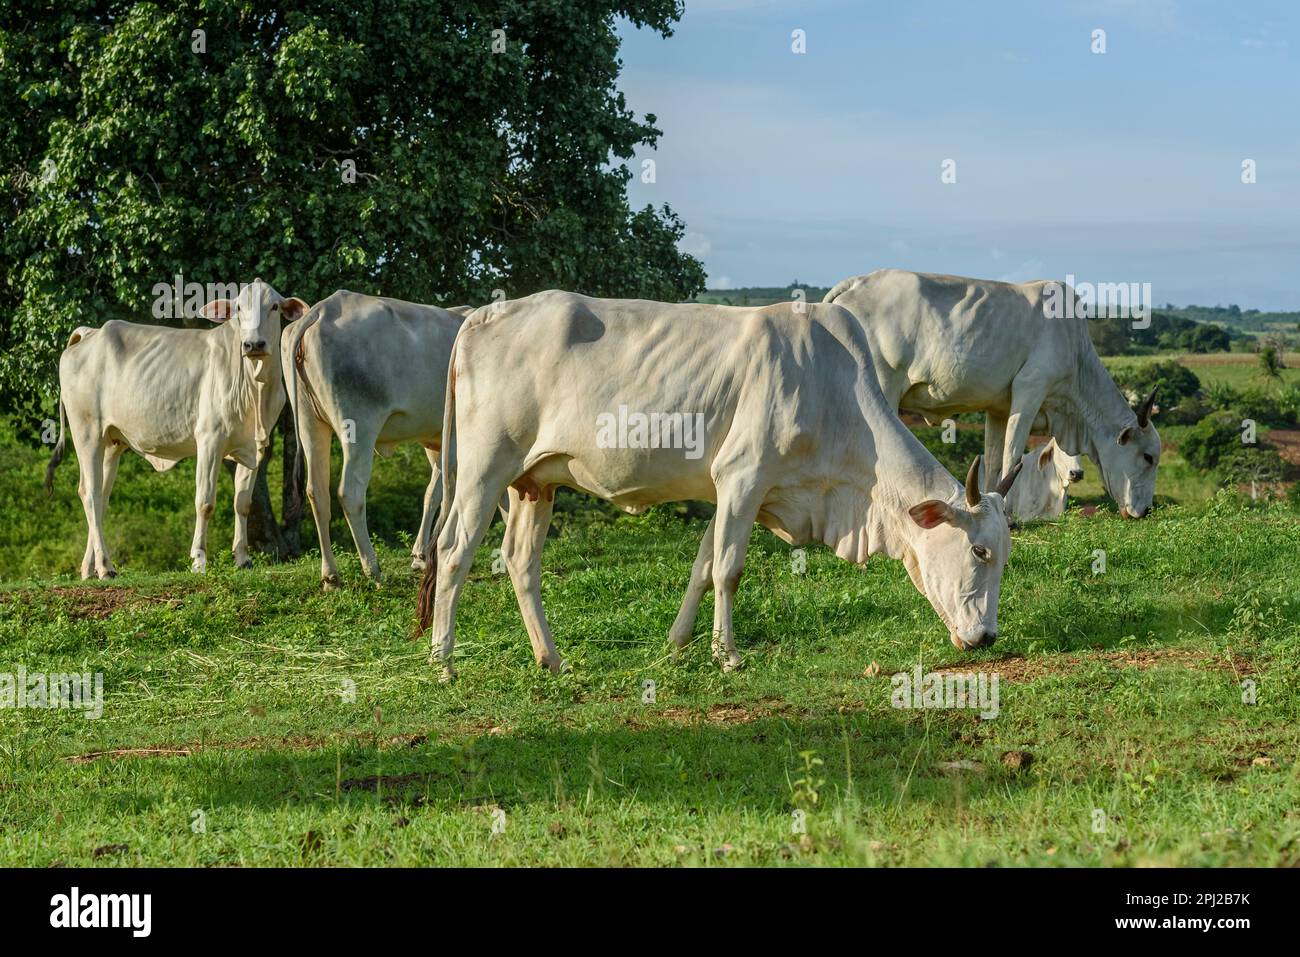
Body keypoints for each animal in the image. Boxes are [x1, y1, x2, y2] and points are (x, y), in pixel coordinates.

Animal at [46, 280, 308, 578]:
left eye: (274, 306)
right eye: (239, 308)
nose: (253, 344)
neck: (256, 386)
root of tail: (90, 333)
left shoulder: (255, 447)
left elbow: (243, 503)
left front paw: (243, 558)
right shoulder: (209, 440)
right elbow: (205, 502)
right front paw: (199, 560)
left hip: (112, 442)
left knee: (100, 496)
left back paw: (90, 569)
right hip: (87, 433)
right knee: (89, 493)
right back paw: (105, 566)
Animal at [281, 290, 465, 589]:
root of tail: (322, 309)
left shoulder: (437, 441)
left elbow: (436, 492)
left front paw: (422, 555)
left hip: (311, 423)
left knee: (317, 492)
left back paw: (331, 576)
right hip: (360, 427)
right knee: (350, 492)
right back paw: (373, 569)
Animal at [416, 292, 1022, 682]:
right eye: (979, 550)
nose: (987, 638)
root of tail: (481, 315)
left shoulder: (732, 493)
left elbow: (704, 565)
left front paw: (676, 645)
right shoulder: (743, 476)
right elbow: (729, 570)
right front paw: (726, 654)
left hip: (532, 482)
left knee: (521, 559)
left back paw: (551, 659)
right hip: (483, 468)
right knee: (453, 549)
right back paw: (443, 662)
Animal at [824, 270, 1160, 517]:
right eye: (1148, 457)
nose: (1144, 512)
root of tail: (857, 282)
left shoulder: (999, 408)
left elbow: (996, 460)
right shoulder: (1030, 389)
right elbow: (1013, 455)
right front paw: (1009, 518)